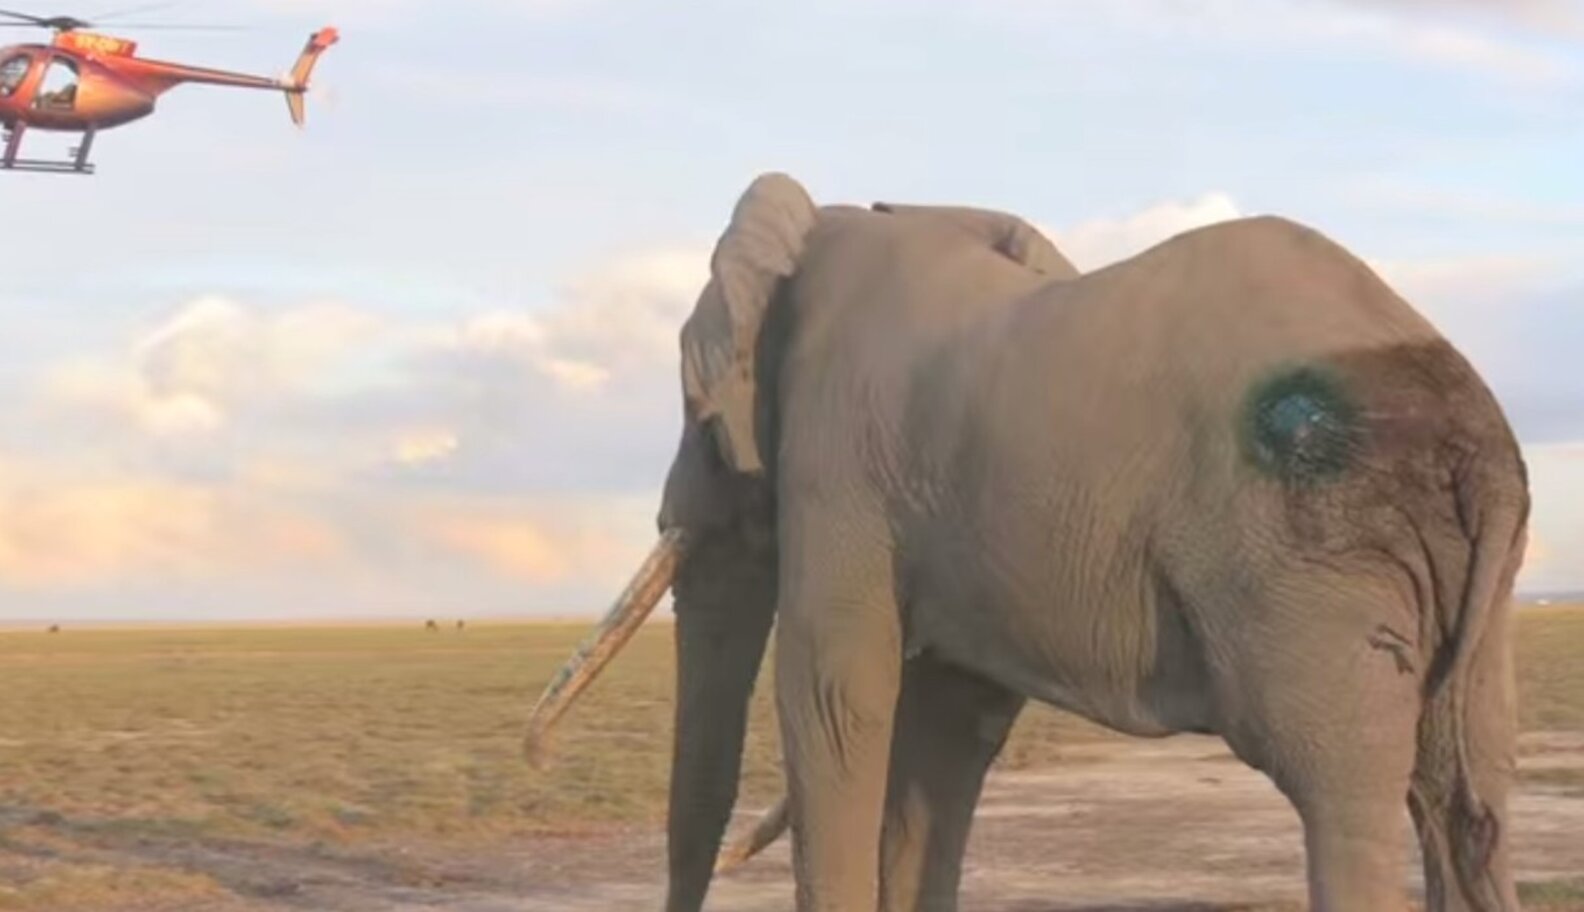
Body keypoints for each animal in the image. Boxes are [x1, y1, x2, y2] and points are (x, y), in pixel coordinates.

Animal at [524, 173, 1530, 912]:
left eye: (702, 420)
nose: (534, 760)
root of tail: (1477, 432)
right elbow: (945, 730)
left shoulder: (837, 459)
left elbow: (836, 698)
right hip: (1472, 577)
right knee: (1465, 795)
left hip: (1304, 559)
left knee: (1341, 791)